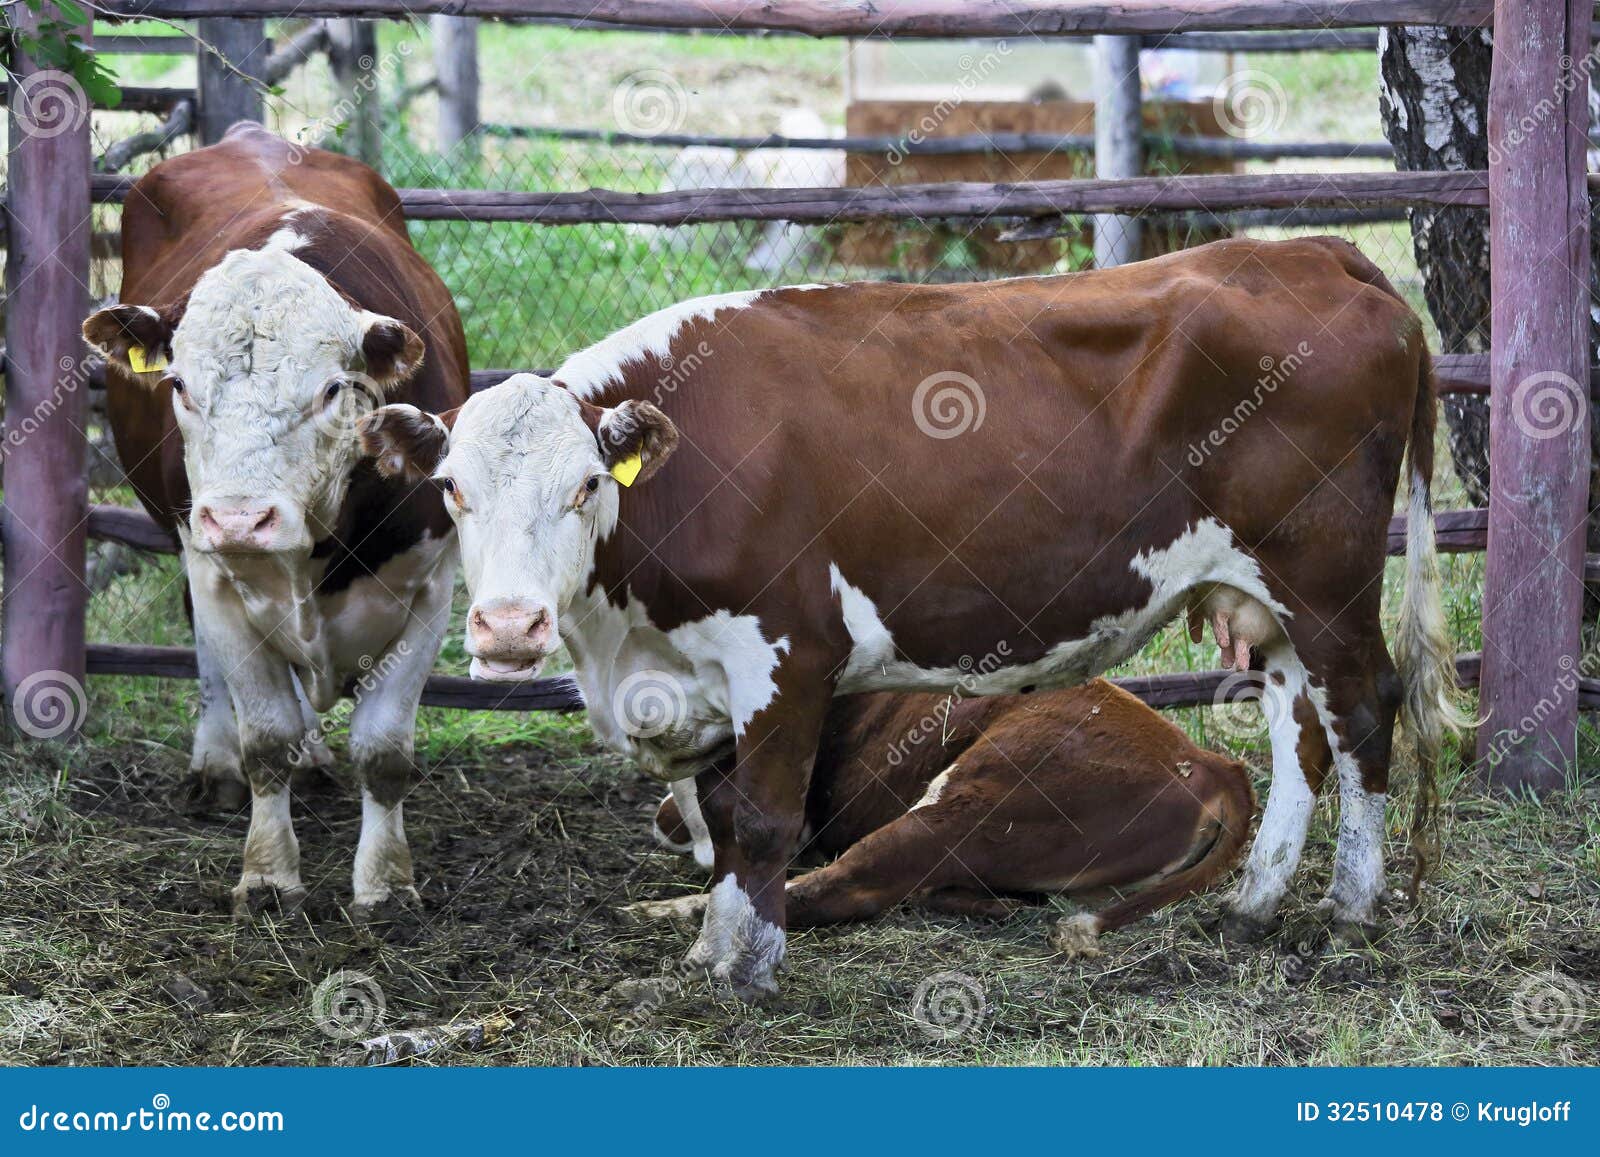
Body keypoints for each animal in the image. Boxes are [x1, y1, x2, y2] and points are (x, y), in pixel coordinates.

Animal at [82, 123, 468, 921]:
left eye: (330, 390)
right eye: (180, 385)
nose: (239, 517)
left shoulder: (431, 589)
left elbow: (385, 749)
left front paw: (386, 882)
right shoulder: (216, 572)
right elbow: (264, 736)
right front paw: (266, 874)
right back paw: (216, 764)